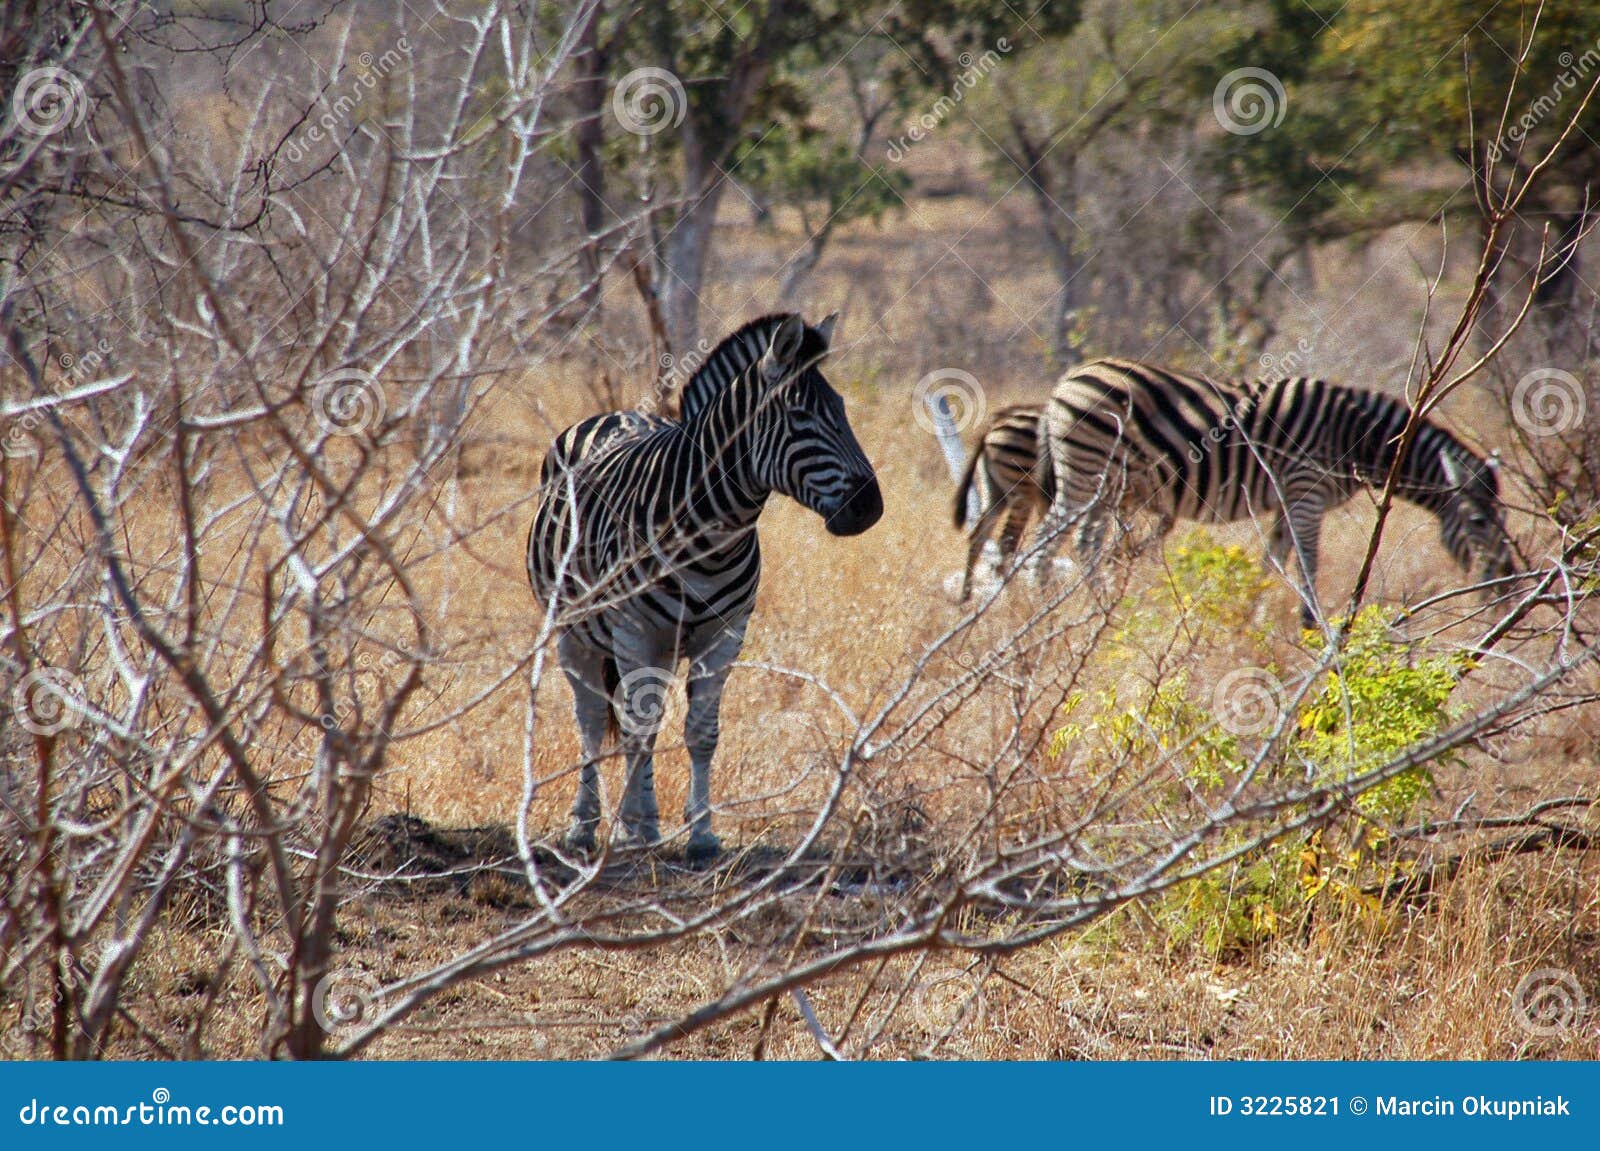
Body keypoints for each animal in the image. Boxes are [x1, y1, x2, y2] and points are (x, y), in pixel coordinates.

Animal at [527, 313, 883, 860]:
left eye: (842, 409)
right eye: (800, 416)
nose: (870, 508)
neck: (712, 534)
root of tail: (616, 413)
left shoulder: (726, 634)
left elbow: (700, 733)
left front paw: (699, 834)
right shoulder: (633, 630)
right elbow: (636, 730)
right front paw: (640, 827)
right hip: (573, 628)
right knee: (589, 720)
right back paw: (587, 825)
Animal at [951, 402, 1052, 602]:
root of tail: (993, 425)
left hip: (996, 493)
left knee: (978, 537)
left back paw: (967, 597)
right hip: (1022, 491)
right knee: (1007, 541)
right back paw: (1013, 596)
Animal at [1038, 357, 1516, 627]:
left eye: (1505, 520)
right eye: (1478, 521)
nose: (1508, 591)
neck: (1357, 436)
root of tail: (1067, 380)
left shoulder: (1288, 495)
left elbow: (1274, 558)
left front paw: (1254, 613)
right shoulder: (1306, 489)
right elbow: (1307, 558)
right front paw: (1310, 622)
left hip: (1107, 485)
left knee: (1085, 542)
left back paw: (1097, 607)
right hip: (1087, 473)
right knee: (1051, 539)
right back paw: (1046, 608)